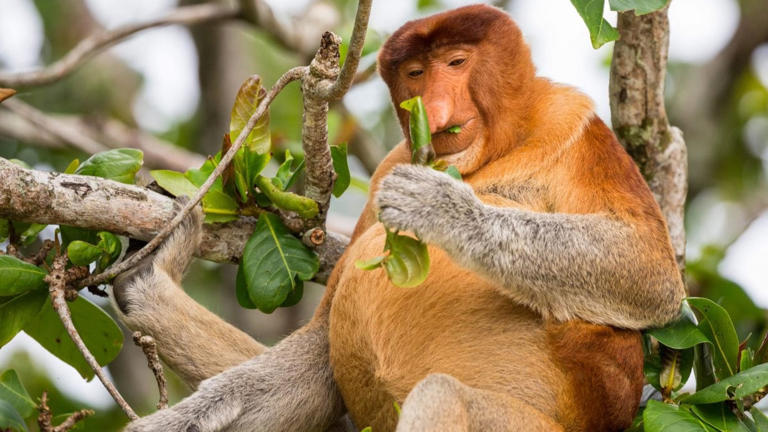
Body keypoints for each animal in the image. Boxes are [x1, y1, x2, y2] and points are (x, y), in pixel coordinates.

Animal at [114, 4, 685, 432]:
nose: (433, 110)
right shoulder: (389, 165)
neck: (493, 151)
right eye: (415, 73)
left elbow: (649, 271)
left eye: (456, 63)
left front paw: (437, 206)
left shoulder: (572, 124)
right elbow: (318, 358)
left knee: (442, 395)